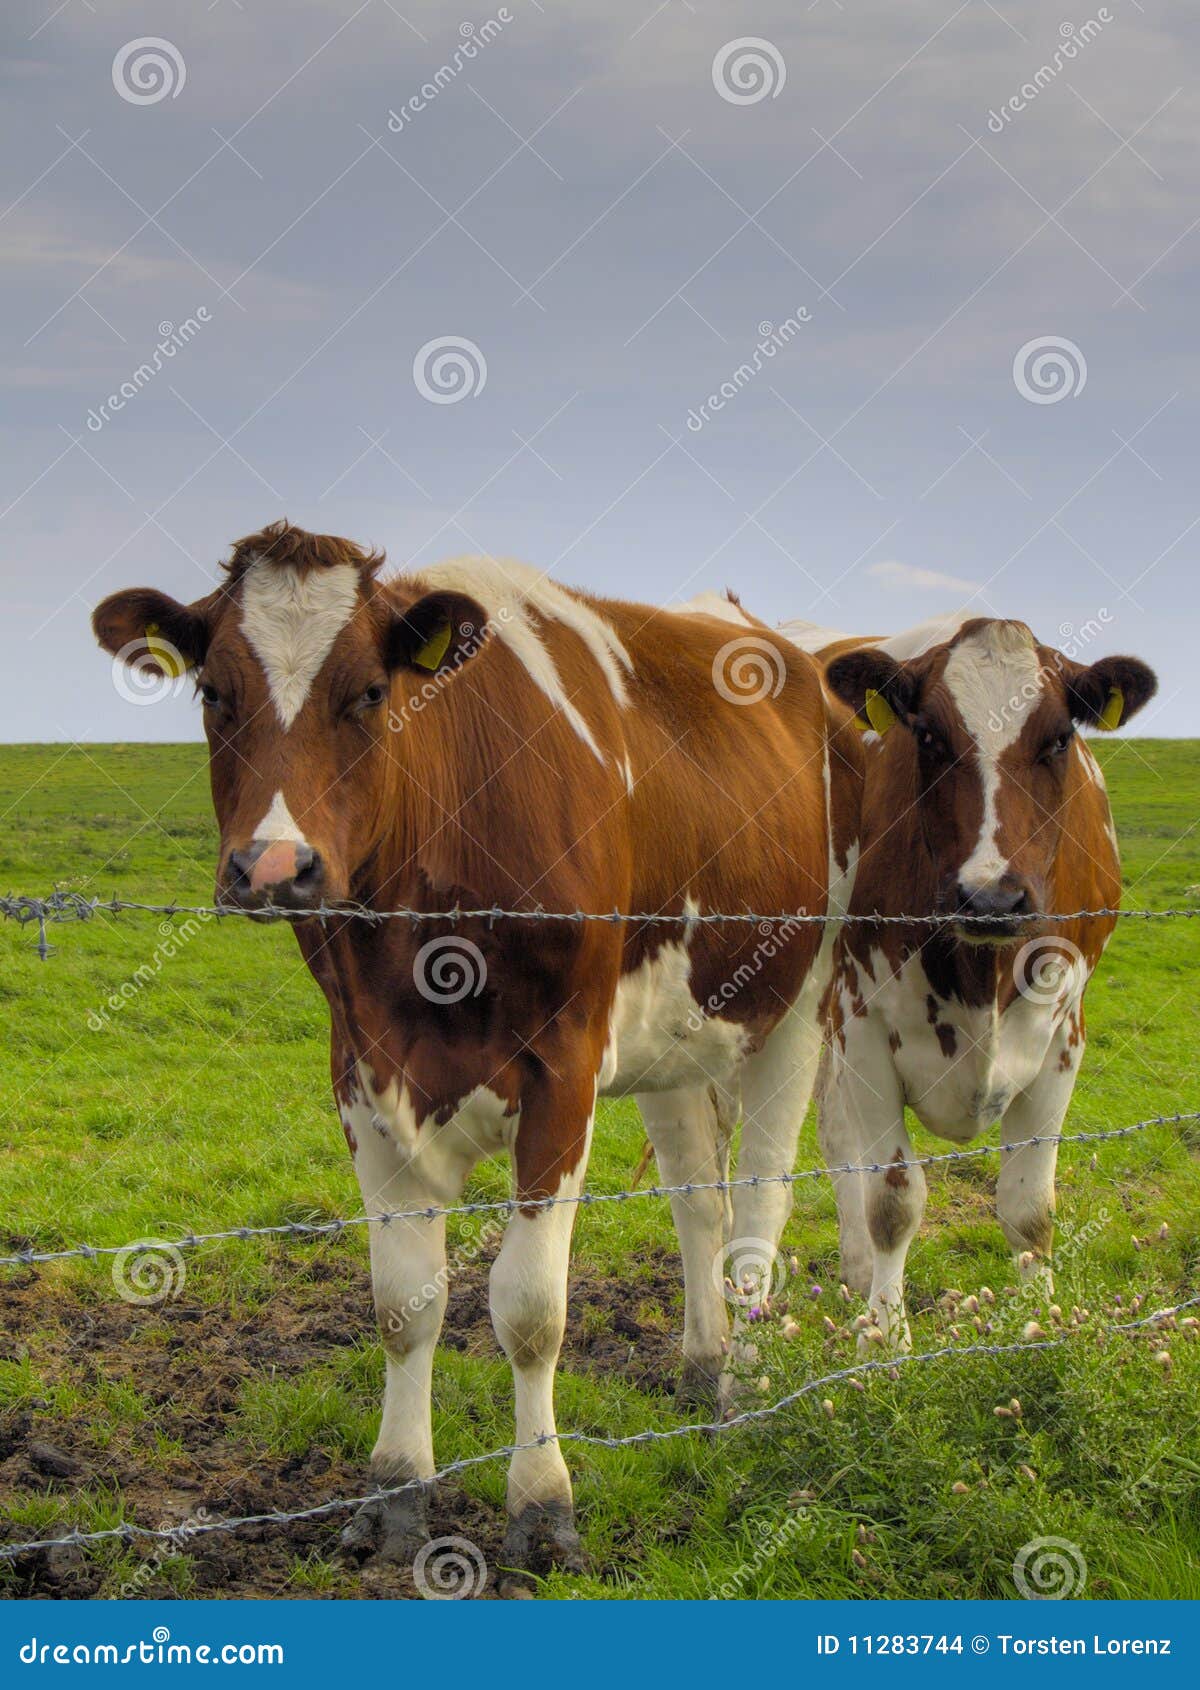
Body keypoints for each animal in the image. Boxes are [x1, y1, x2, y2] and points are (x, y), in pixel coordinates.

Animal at [93, 522, 862, 1577]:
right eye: (213, 692)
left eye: (371, 693)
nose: (275, 867)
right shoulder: (362, 1072)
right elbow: (403, 1303)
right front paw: (394, 1496)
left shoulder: (563, 1071)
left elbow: (530, 1310)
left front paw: (542, 1507)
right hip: (673, 1034)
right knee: (697, 1202)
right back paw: (702, 1371)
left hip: (796, 1003)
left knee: (758, 1211)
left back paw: (742, 1399)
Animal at [779, 610, 1156, 1351]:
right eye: (927, 735)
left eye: (1060, 738)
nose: (991, 898)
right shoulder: (864, 1023)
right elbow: (894, 1200)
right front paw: (887, 1339)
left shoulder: (1063, 1036)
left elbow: (1028, 1206)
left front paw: (1041, 1323)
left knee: (837, 1135)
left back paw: (856, 1274)